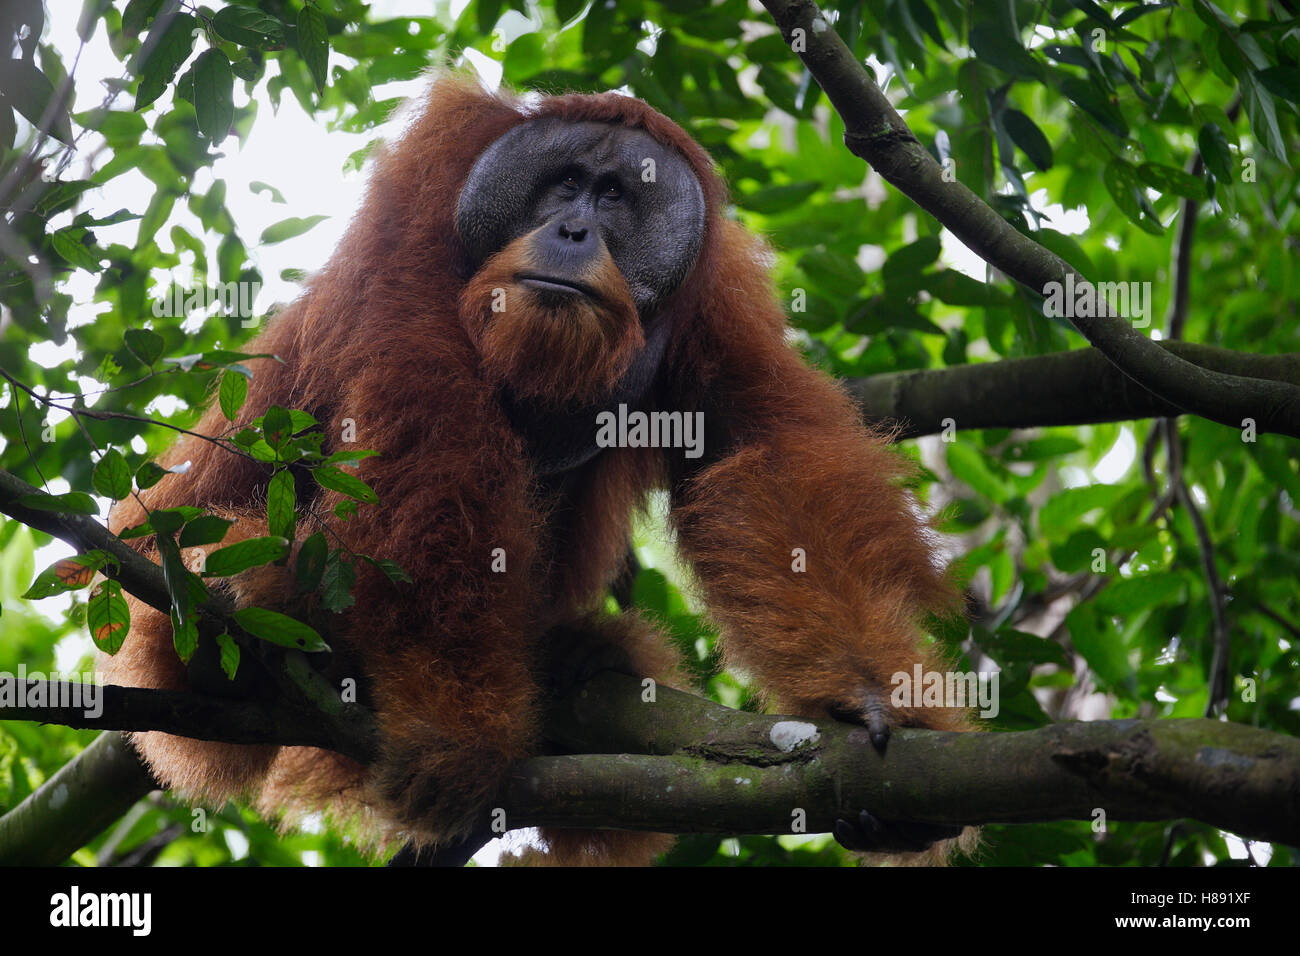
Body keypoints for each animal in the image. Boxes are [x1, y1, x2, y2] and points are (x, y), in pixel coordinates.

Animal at [99, 74, 974, 866]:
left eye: (615, 195)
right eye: (563, 183)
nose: (575, 229)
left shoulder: (715, 296)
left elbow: (757, 454)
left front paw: (865, 699)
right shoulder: (419, 210)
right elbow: (433, 440)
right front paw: (455, 736)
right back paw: (261, 605)